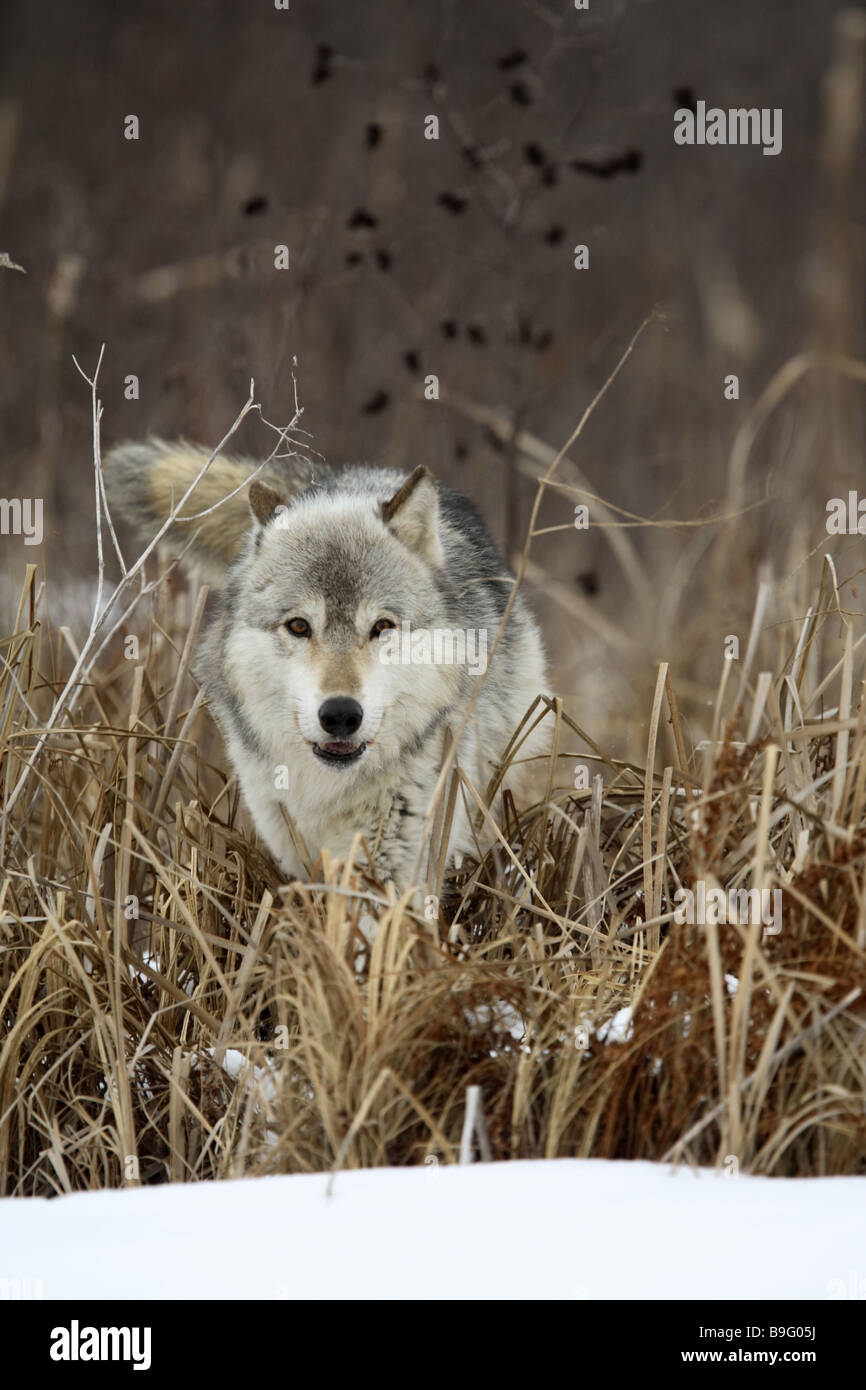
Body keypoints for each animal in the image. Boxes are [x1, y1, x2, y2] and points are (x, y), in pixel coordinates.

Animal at [106, 440, 549, 893]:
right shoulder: (292, 843)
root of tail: (341, 478)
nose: (340, 715)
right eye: (299, 626)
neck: (332, 786)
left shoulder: (392, 862)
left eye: (381, 627)